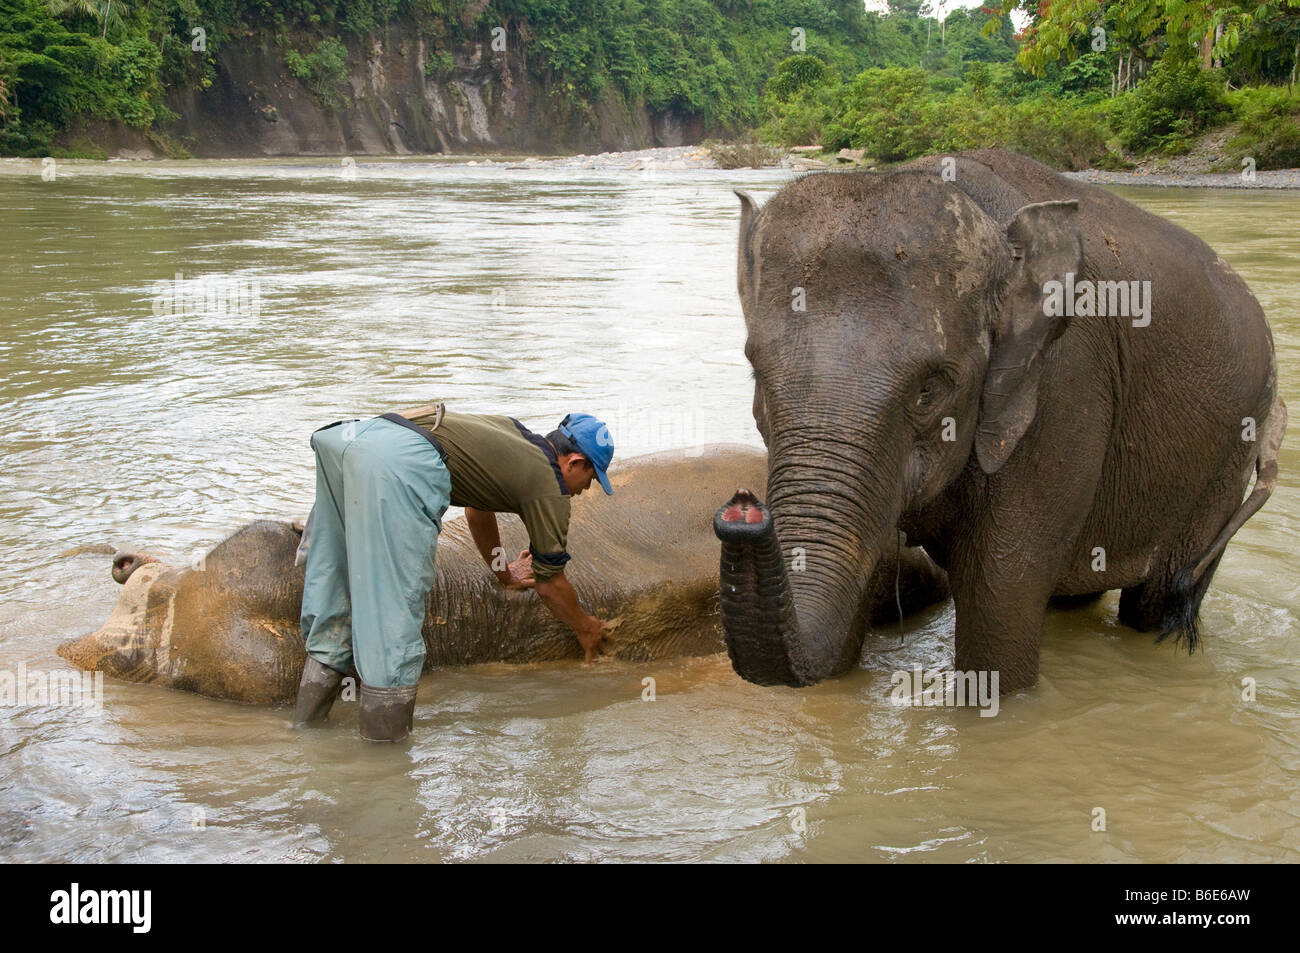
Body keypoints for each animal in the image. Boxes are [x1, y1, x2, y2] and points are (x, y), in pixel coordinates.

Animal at [714, 148, 1286, 692]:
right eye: (755, 372)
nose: (743, 505)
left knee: (1158, 598)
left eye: (929, 390)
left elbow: (1000, 599)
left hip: (1228, 452)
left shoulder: (1063, 388)